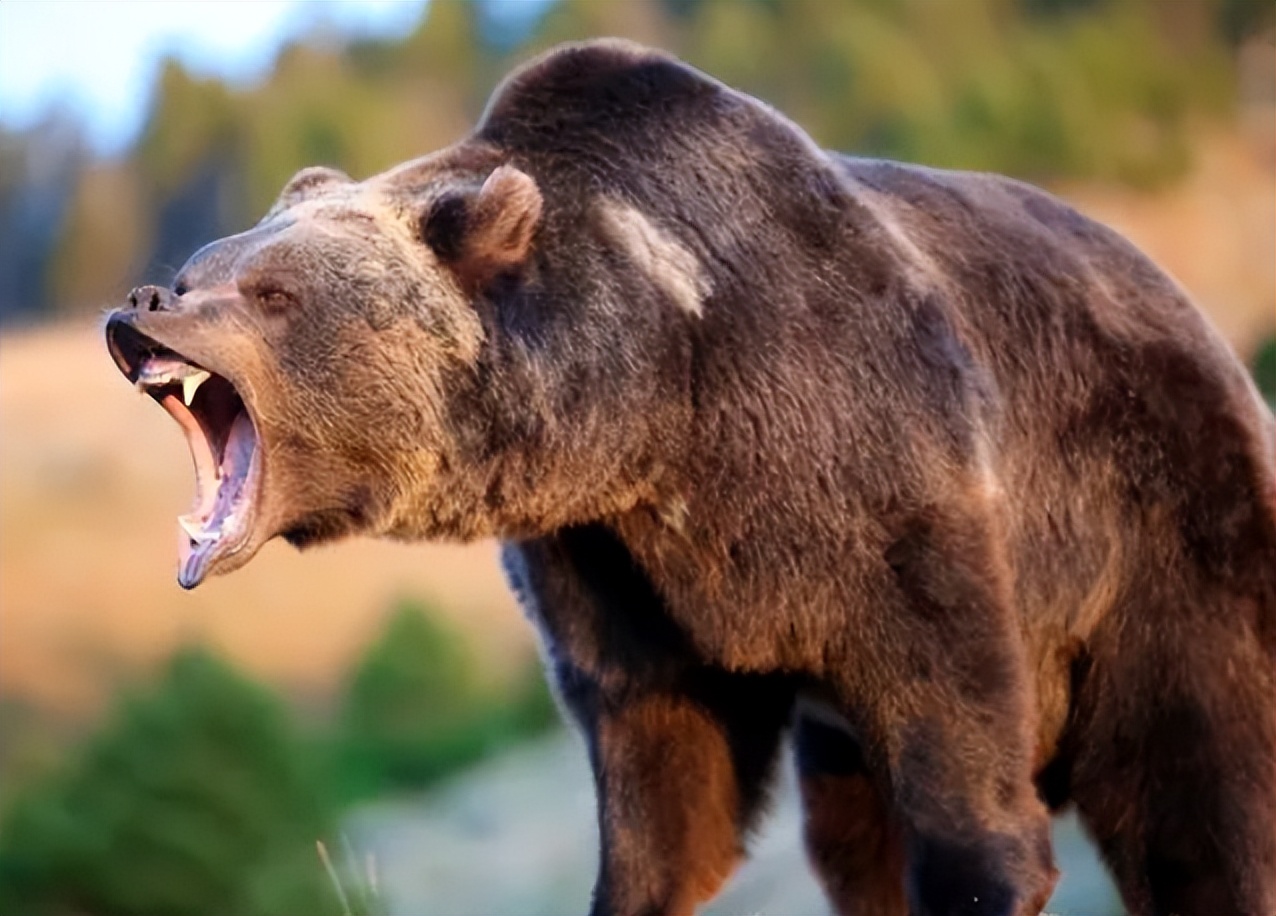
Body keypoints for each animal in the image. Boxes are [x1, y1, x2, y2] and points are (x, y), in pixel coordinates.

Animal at [105, 39, 1276, 916]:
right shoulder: (616, 570)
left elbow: (952, 724)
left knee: (1198, 795)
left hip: (1165, 533)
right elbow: (667, 790)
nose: (142, 305)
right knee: (851, 833)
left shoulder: (882, 475)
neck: (658, 402)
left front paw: (987, 871)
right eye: (200, 268)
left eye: (271, 292)